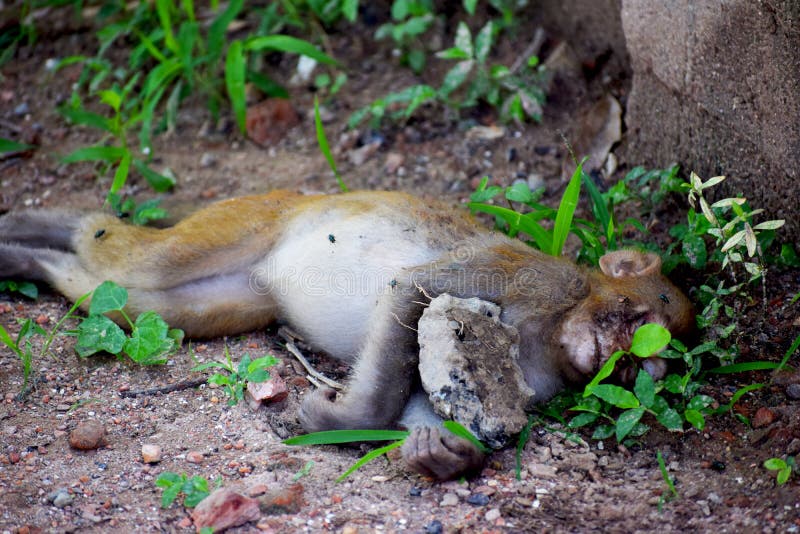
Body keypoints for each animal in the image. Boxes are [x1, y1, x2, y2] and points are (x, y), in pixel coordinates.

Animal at [0, 190, 694, 480]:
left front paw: (447, 452)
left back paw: (29, 261)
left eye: (636, 372)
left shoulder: (543, 377)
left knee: (125, 298)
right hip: (250, 217)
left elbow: (430, 397)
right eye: (633, 320)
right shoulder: (537, 279)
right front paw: (343, 419)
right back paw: (37, 228)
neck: (553, 329)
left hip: (237, 288)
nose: (616, 355)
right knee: (123, 254)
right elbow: (414, 288)